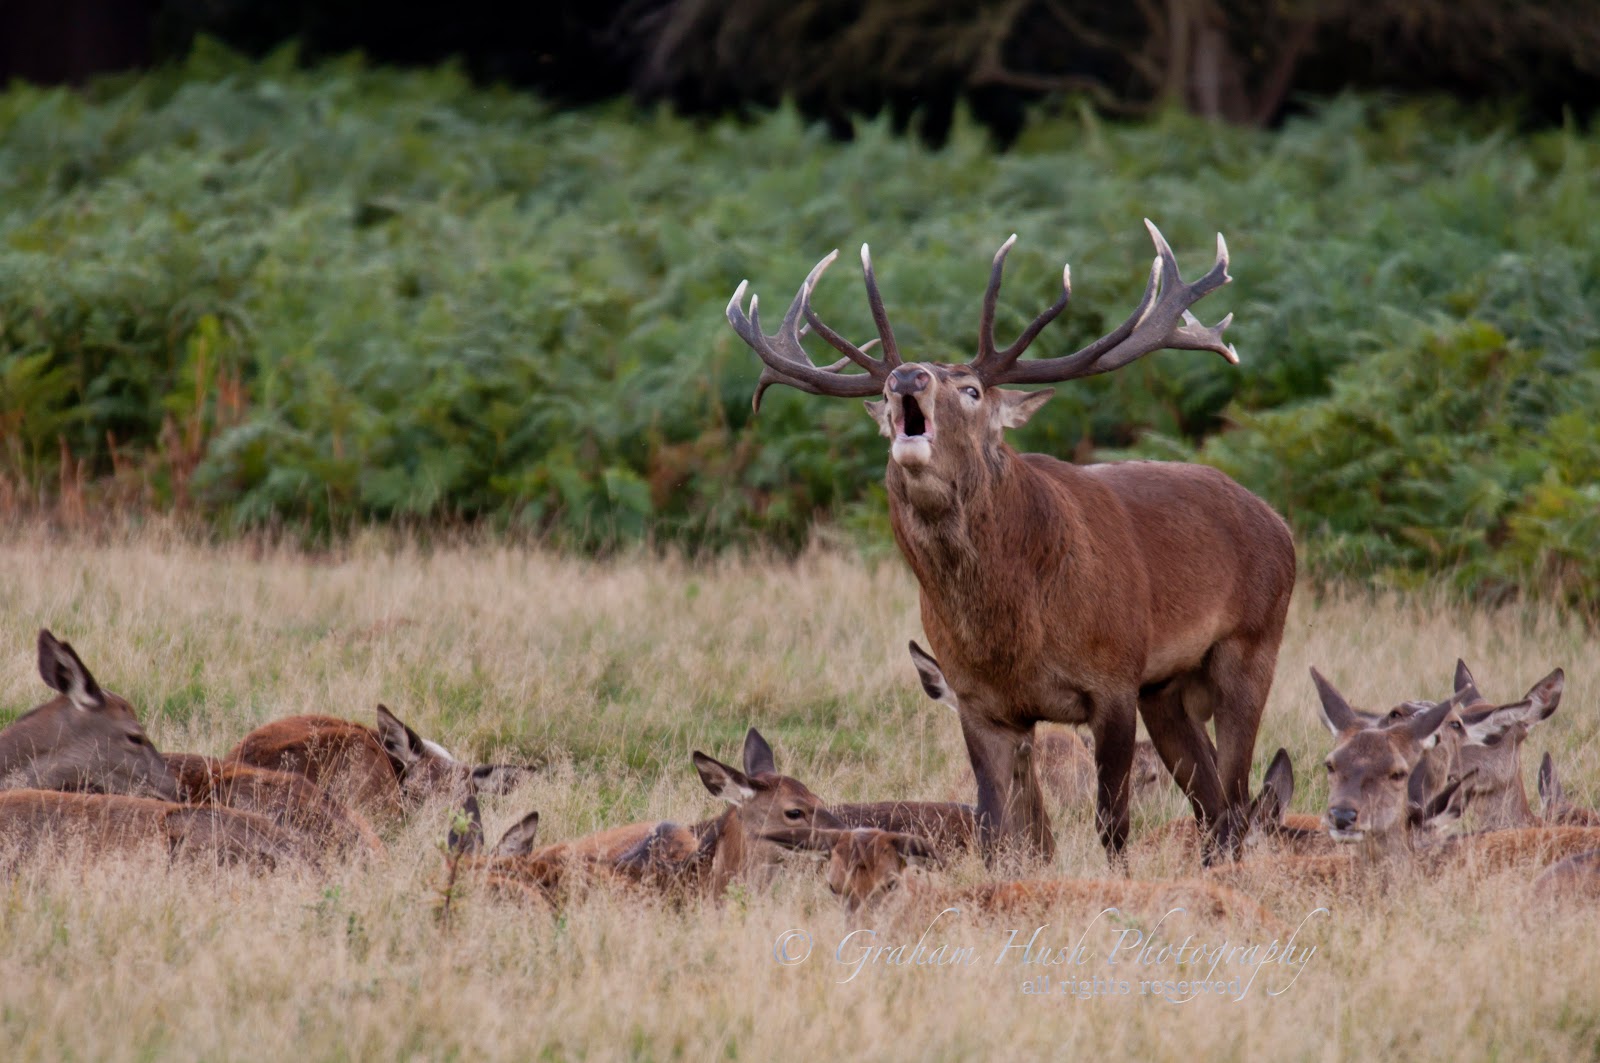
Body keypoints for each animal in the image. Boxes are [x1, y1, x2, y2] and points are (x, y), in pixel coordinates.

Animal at [728, 221, 1296, 865]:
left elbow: (1112, 823)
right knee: (1213, 805)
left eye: (972, 390)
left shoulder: (1114, 679)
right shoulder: (981, 702)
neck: (1011, 633)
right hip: (1167, 688)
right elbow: (997, 830)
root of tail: (1277, 522)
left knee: (1235, 797)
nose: (905, 376)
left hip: (1250, 644)